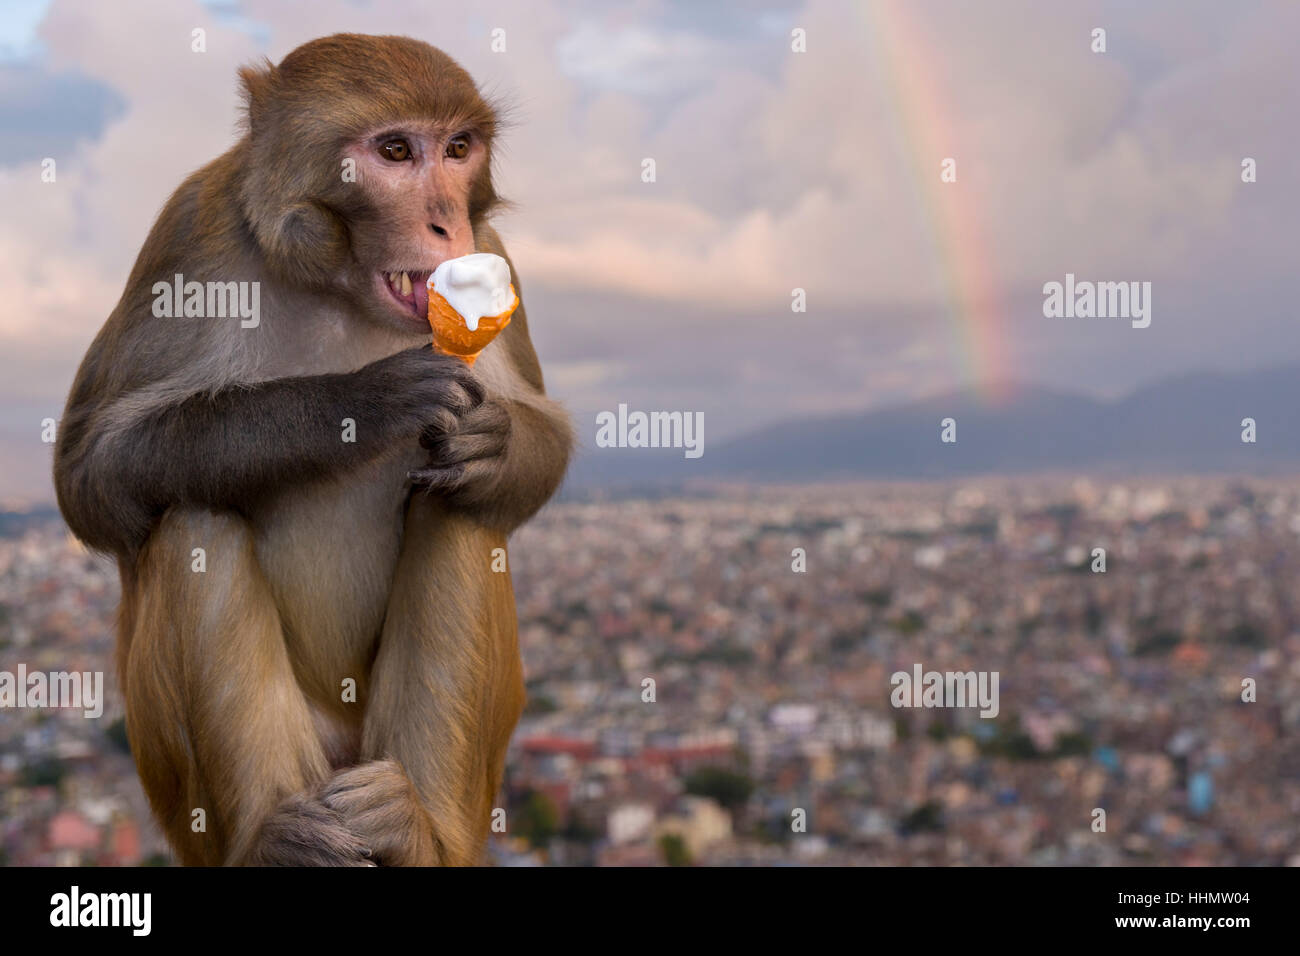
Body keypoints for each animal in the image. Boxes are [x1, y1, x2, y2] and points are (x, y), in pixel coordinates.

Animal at [52, 34, 573, 866]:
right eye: (394, 150)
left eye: (459, 148)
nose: (445, 223)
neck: (339, 283)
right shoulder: (190, 229)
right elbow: (90, 475)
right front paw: (357, 404)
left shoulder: (494, 252)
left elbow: (535, 439)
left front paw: (494, 441)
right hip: (190, 794)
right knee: (194, 519)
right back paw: (274, 838)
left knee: (460, 511)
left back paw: (415, 832)